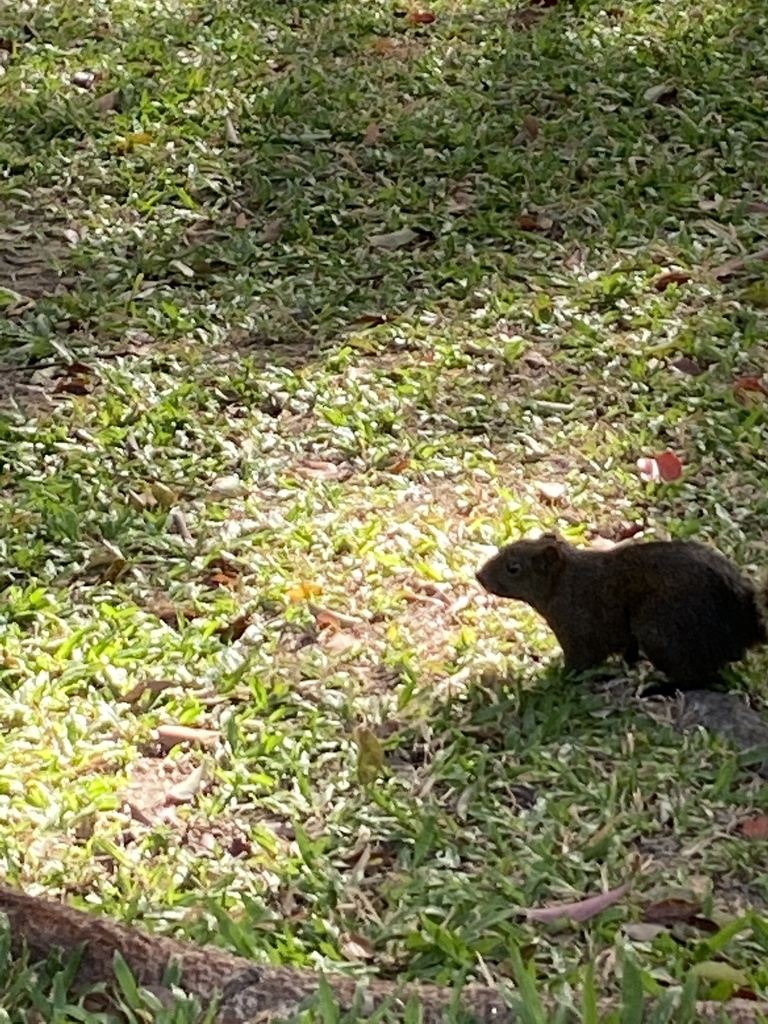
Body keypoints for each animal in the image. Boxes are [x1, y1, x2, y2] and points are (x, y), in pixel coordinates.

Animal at [476, 533, 768, 691]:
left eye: (513, 568)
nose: (479, 576)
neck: (564, 581)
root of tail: (746, 626)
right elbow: (628, 650)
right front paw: (627, 664)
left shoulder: (580, 630)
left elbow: (579, 664)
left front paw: (554, 680)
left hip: (659, 629)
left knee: (701, 678)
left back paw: (660, 688)